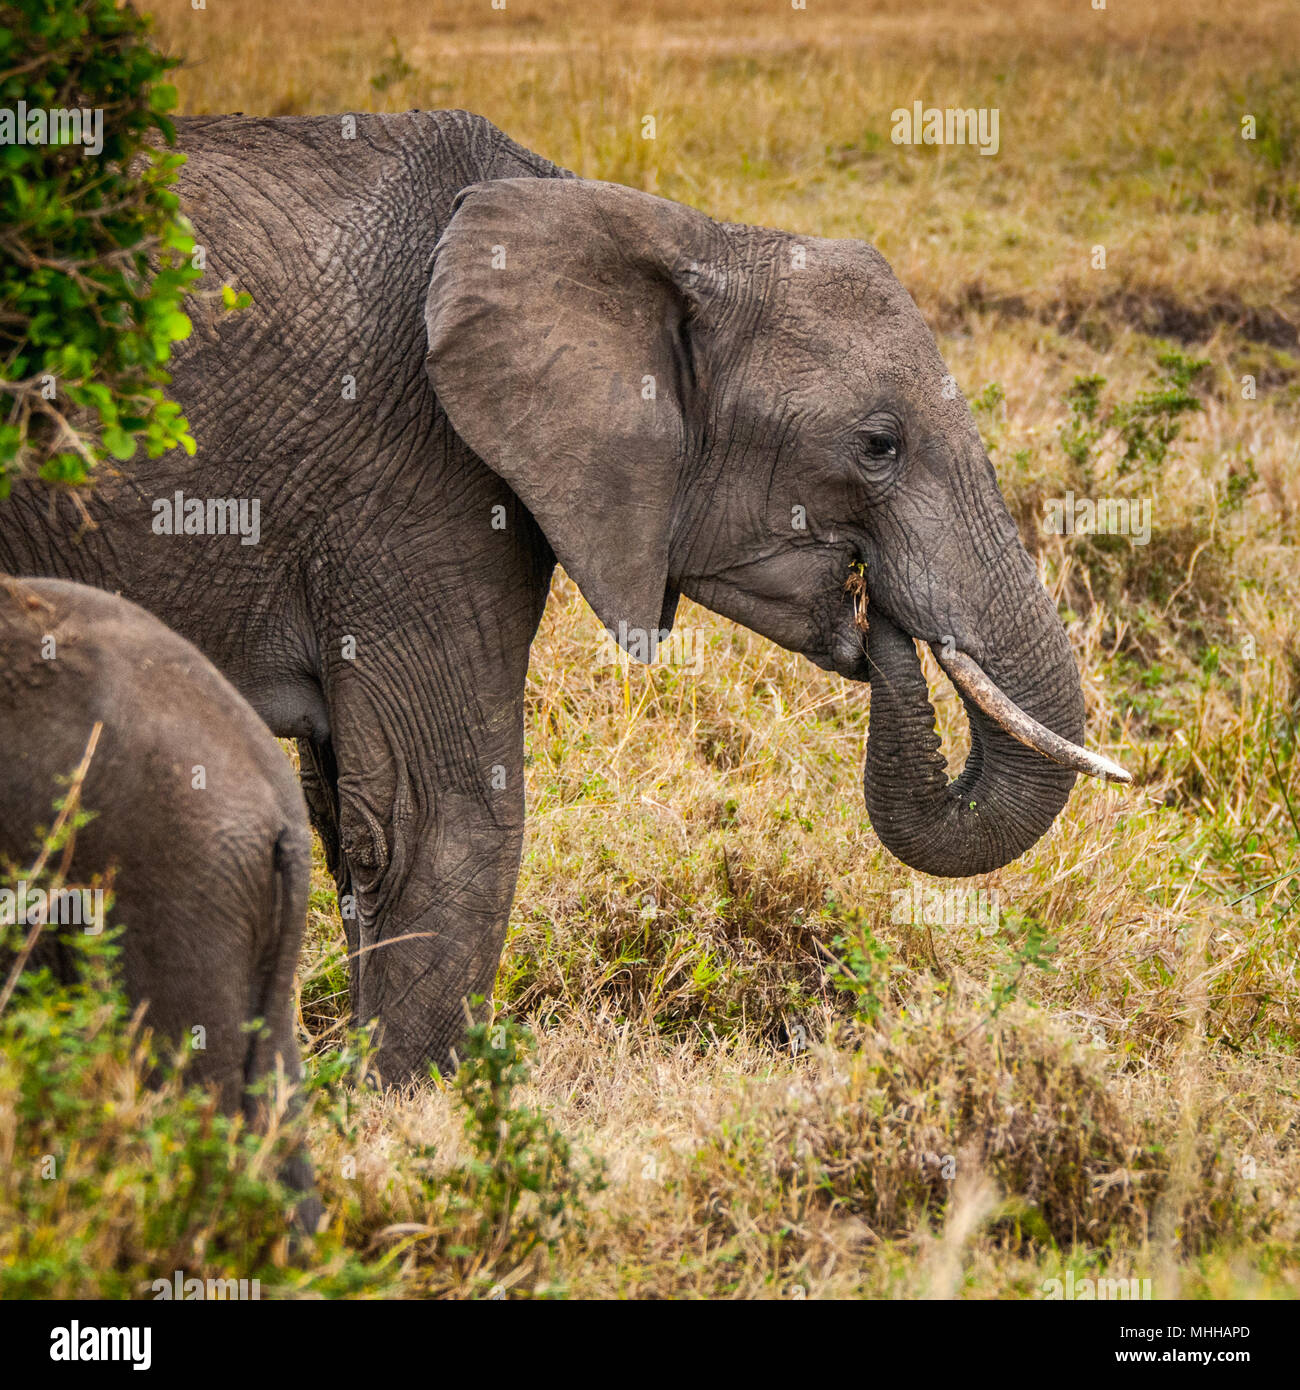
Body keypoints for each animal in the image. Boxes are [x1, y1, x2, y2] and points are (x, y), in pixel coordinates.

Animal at [0, 111, 1127, 1082]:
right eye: (878, 446)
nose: (875, 612)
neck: (663, 229)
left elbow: (353, 819)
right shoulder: (411, 470)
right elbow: (441, 814)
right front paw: (405, 1118)